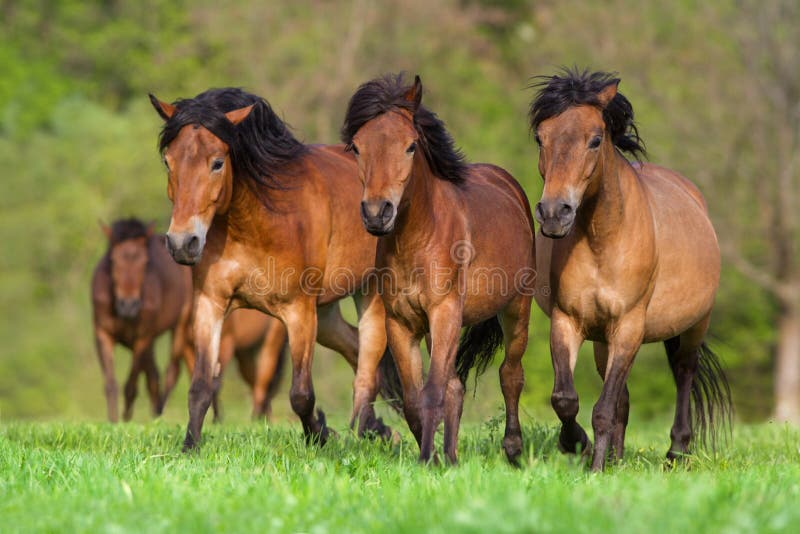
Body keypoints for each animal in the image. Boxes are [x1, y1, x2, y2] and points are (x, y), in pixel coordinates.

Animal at [91, 218, 193, 422]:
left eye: (145, 262)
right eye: (113, 260)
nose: (129, 304)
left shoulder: (142, 338)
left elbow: (131, 385)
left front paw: (126, 420)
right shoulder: (102, 334)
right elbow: (111, 384)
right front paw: (113, 421)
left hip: (179, 326)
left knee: (171, 372)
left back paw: (158, 413)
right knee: (153, 376)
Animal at [148, 87, 403, 450]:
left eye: (217, 162)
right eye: (168, 161)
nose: (183, 242)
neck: (254, 225)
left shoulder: (298, 312)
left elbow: (301, 394)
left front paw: (319, 438)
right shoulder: (210, 303)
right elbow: (200, 388)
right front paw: (189, 448)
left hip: (368, 297)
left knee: (368, 365)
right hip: (325, 315)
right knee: (358, 352)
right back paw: (379, 430)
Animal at [341, 74, 536, 464]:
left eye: (410, 146)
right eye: (356, 147)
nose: (377, 213)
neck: (417, 240)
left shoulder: (444, 312)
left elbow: (432, 392)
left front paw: (426, 461)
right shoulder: (401, 323)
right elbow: (415, 398)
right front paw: (432, 457)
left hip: (516, 308)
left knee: (510, 374)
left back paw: (512, 449)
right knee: (456, 386)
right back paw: (453, 457)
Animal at [528, 68, 732, 471]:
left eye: (595, 140)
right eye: (541, 137)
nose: (555, 213)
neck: (601, 241)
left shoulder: (629, 325)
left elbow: (603, 409)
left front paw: (593, 467)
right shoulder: (568, 321)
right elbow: (566, 399)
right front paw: (579, 446)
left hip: (693, 325)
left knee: (684, 372)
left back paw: (676, 452)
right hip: (602, 339)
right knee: (621, 397)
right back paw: (616, 459)